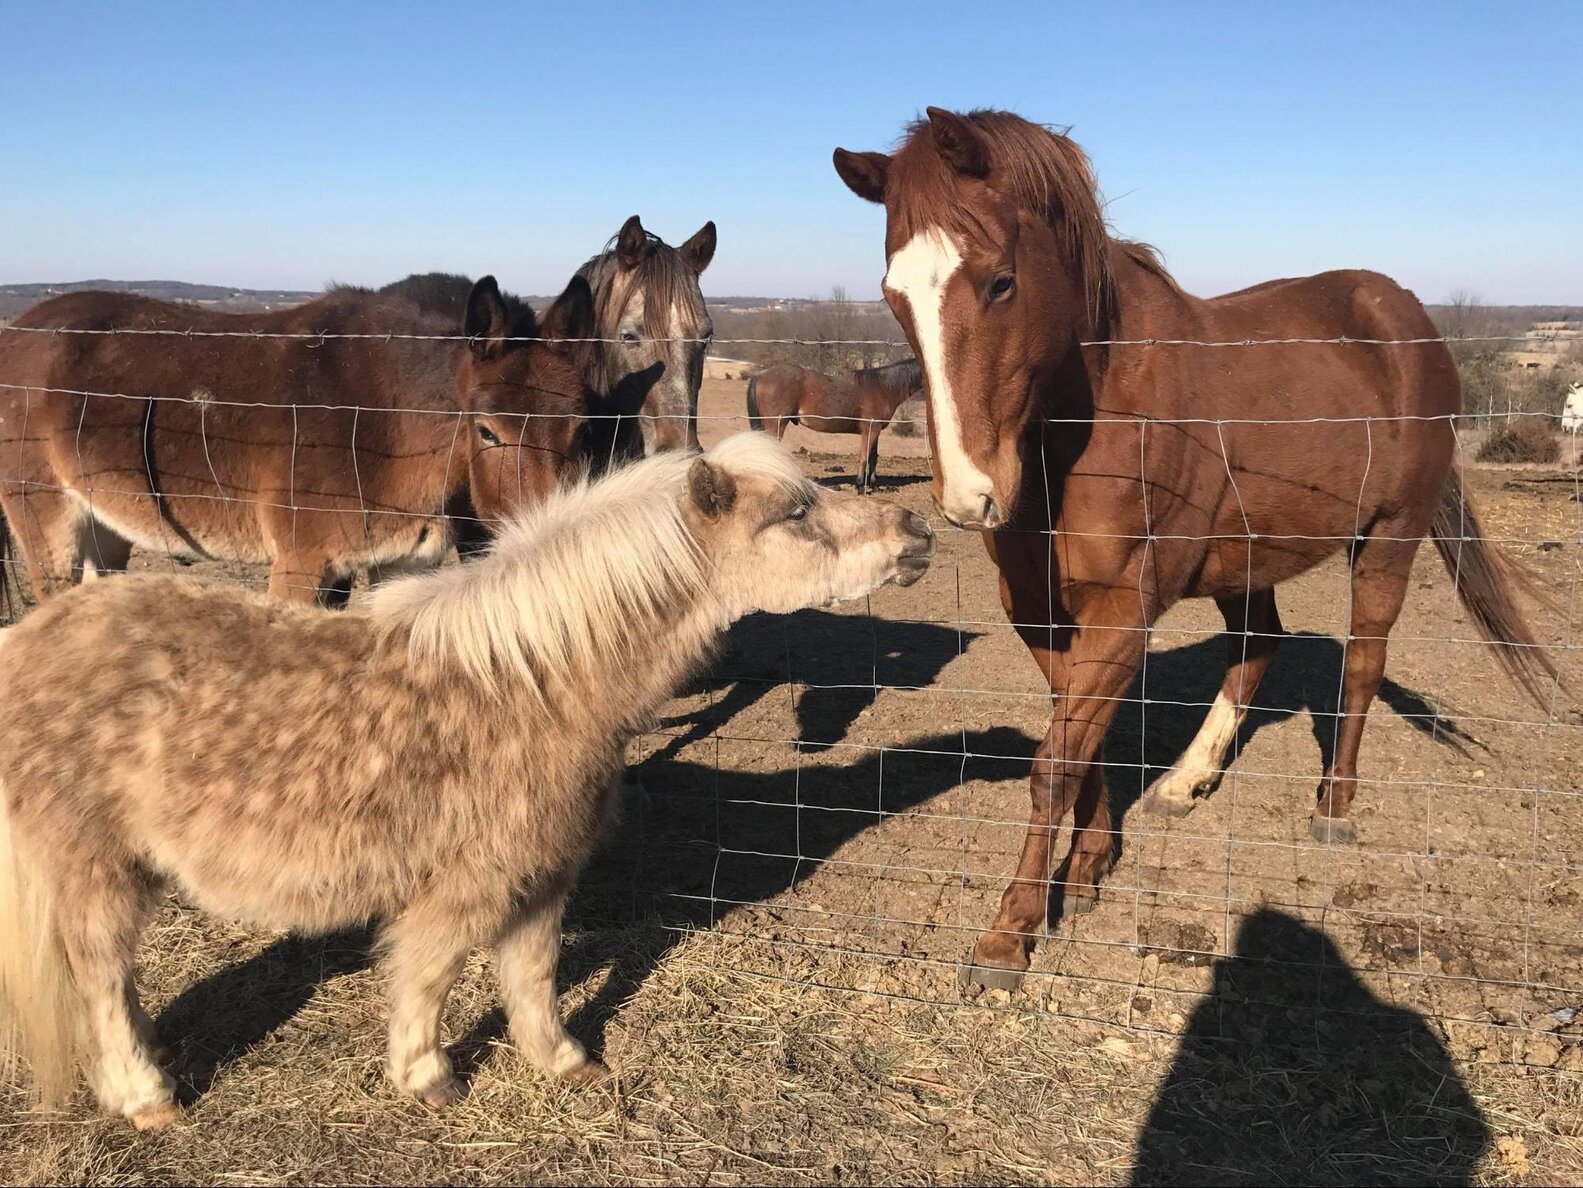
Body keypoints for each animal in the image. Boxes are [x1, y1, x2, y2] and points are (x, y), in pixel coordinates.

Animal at [0, 276, 593, 612]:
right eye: (488, 431)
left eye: (580, 428)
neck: (385, 421)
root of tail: (20, 327)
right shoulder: (301, 567)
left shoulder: (405, 565)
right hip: (47, 522)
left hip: (105, 523)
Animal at [0, 432, 935, 1128]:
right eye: (796, 513)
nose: (917, 534)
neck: (534, 682)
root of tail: (26, 643)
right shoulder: (469, 883)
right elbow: (432, 973)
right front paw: (426, 1076)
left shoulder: (543, 876)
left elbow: (532, 975)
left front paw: (562, 1061)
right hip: (93, 871)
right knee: (99, 975)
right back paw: (145, 1096)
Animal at [746, 357, 922, 491]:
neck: (882, 388)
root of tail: (760, 374)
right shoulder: (870, 430)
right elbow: (864, 456)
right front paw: (860, 485)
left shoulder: (875, 430)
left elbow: (873, 457)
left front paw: (873, 485)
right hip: (776, 424)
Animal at [834, 107, 1561, 988]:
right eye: (892, 295)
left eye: (999, 282)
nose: (970, 497)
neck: (1090, 419)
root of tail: (1406, 319)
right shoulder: (1041, 613)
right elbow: (1079, 742)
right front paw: (1088, 865)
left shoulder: (1125, 607)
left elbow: (1054, 764)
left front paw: (1008, 934)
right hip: (1248, 557)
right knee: (1257, 644)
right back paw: (1186, 782)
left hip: (1388, 537)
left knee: (1361, 661)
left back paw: (1333, 806)